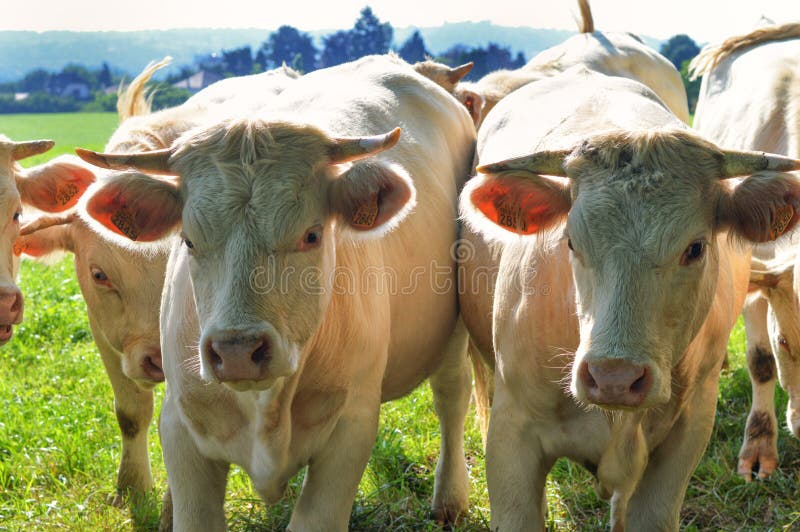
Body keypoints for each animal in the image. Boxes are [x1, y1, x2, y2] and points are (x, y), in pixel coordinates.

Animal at [15, 58, 300, 506]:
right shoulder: (105, 333)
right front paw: (132, 486)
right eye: (99, 274)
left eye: (178, 270)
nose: (155, 359)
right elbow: (131, 414)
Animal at [74, 54, 476, 530]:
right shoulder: (181, 430)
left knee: (451, 397)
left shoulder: (350, 431)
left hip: (454, 332)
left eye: (312, 235)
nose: (236, 351)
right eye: (188, 240)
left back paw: (450, 497)